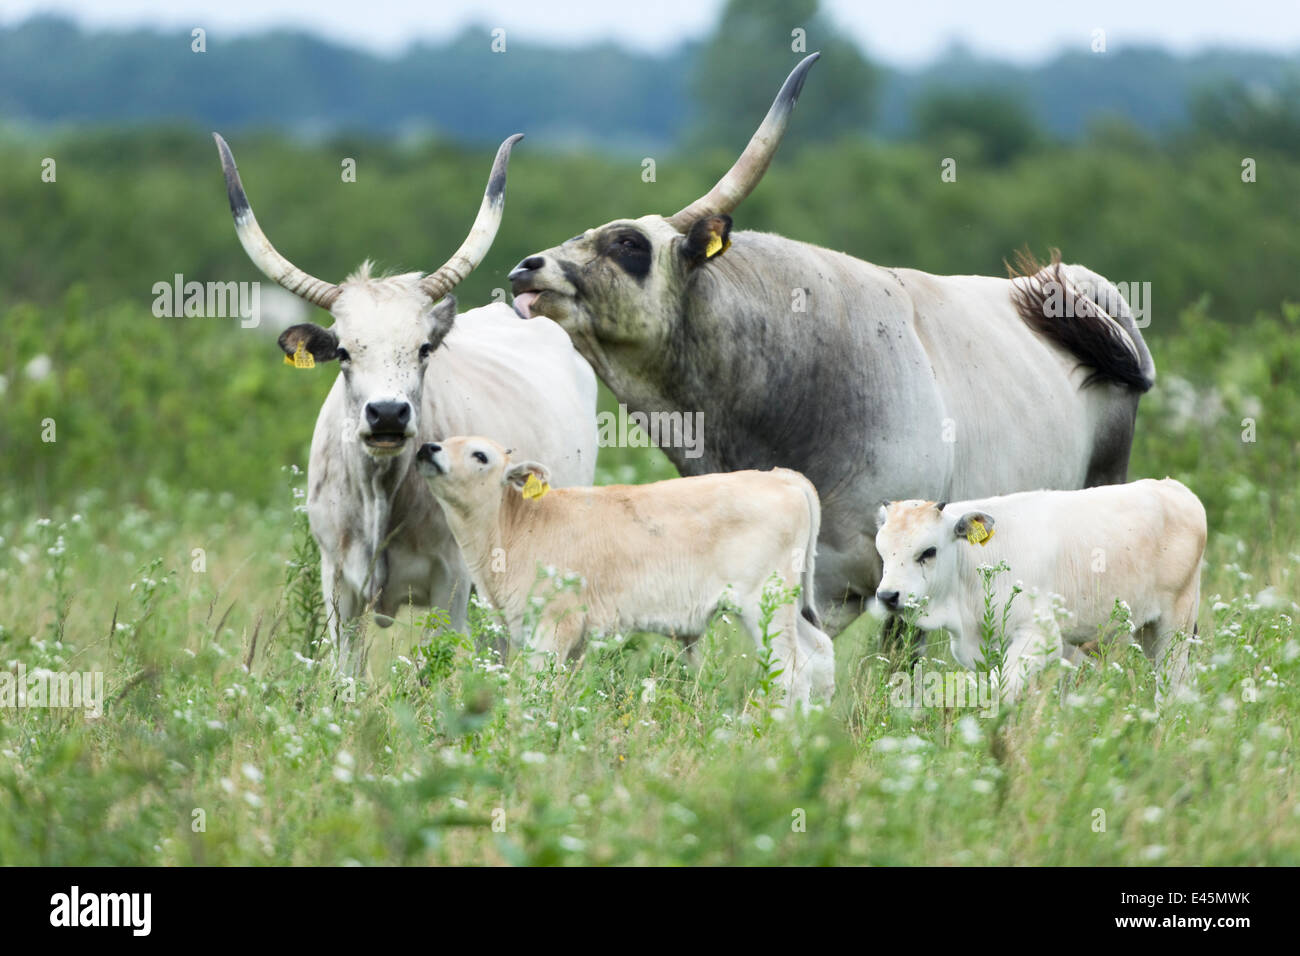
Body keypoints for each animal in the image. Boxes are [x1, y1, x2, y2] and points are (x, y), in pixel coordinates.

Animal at [214, 133, 598, 677]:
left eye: (424, 349)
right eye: (344, 352)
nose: (388, 414)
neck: (380, 495)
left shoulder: (454, 584)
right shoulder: (338, 585)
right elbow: (347, 678)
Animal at [412, 436, 836, 707]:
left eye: (480, 455)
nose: (428, 448)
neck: (515, 527)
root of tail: (778, 476)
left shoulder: (553, 626)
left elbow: (538, 686)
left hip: (764, 604)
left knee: (791, 673)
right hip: (786, 606)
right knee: (819, 654)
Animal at [874, 479, 1206, 703]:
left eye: (928, 551)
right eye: (882, 552)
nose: (888, 596)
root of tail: (1172, 488)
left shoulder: (1038, 637)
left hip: (1176, 626)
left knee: (1171, 686)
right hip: (1148, 630)